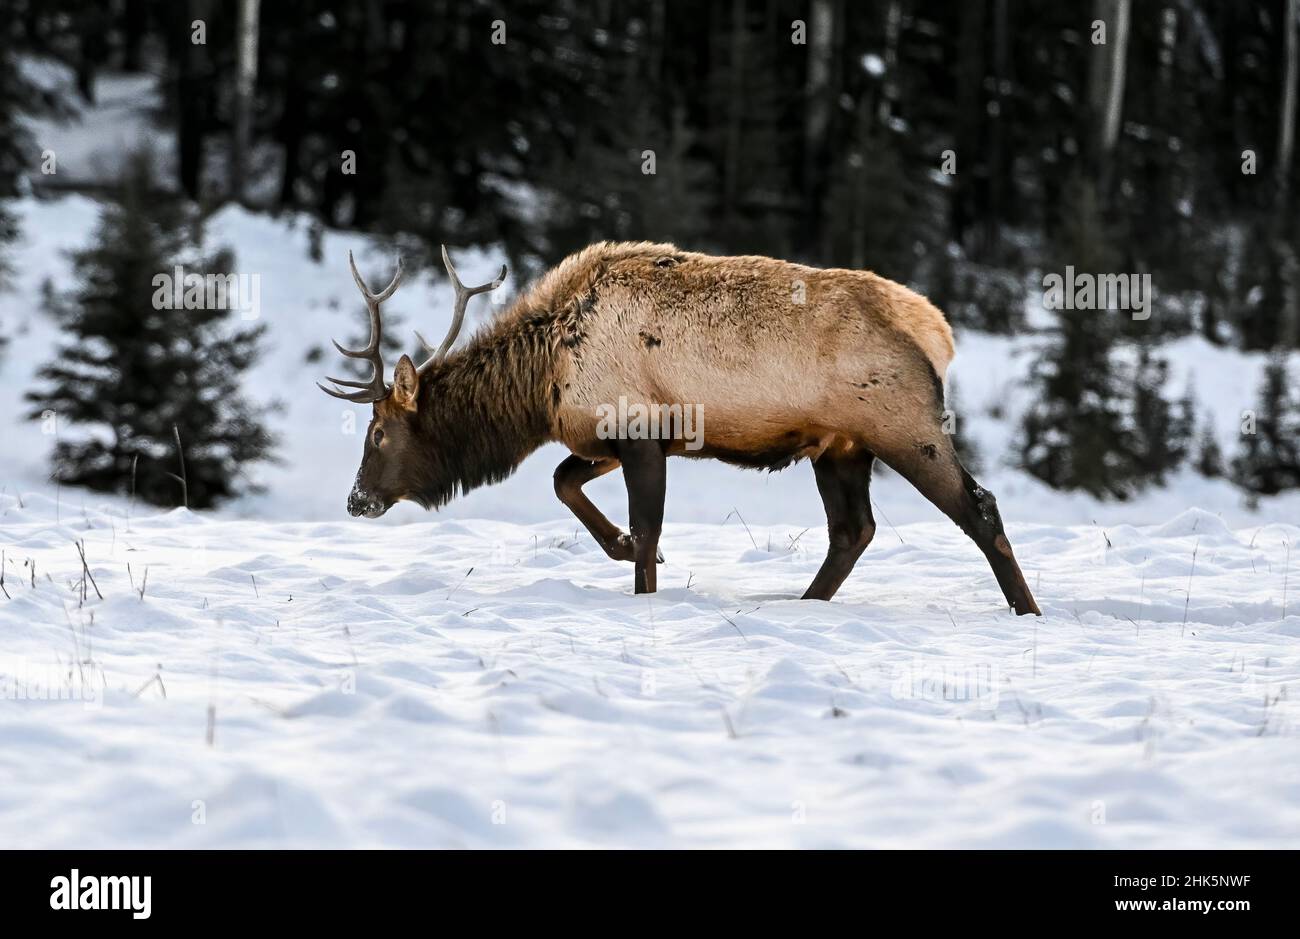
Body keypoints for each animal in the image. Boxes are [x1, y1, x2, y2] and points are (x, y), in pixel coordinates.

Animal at [319, 243, 1042, 615]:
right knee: (852, 531)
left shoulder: (642, 433)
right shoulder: (607, 436)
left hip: (901, 424)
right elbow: (564, 482)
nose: (355, 499)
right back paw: (804, 604)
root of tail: (939, 333)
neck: (543, 380)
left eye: (377, 432)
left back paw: (1027, 610)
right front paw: (616, 546)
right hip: (840, 447)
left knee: (978, 505)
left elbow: (646, 532)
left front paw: (642, 579)